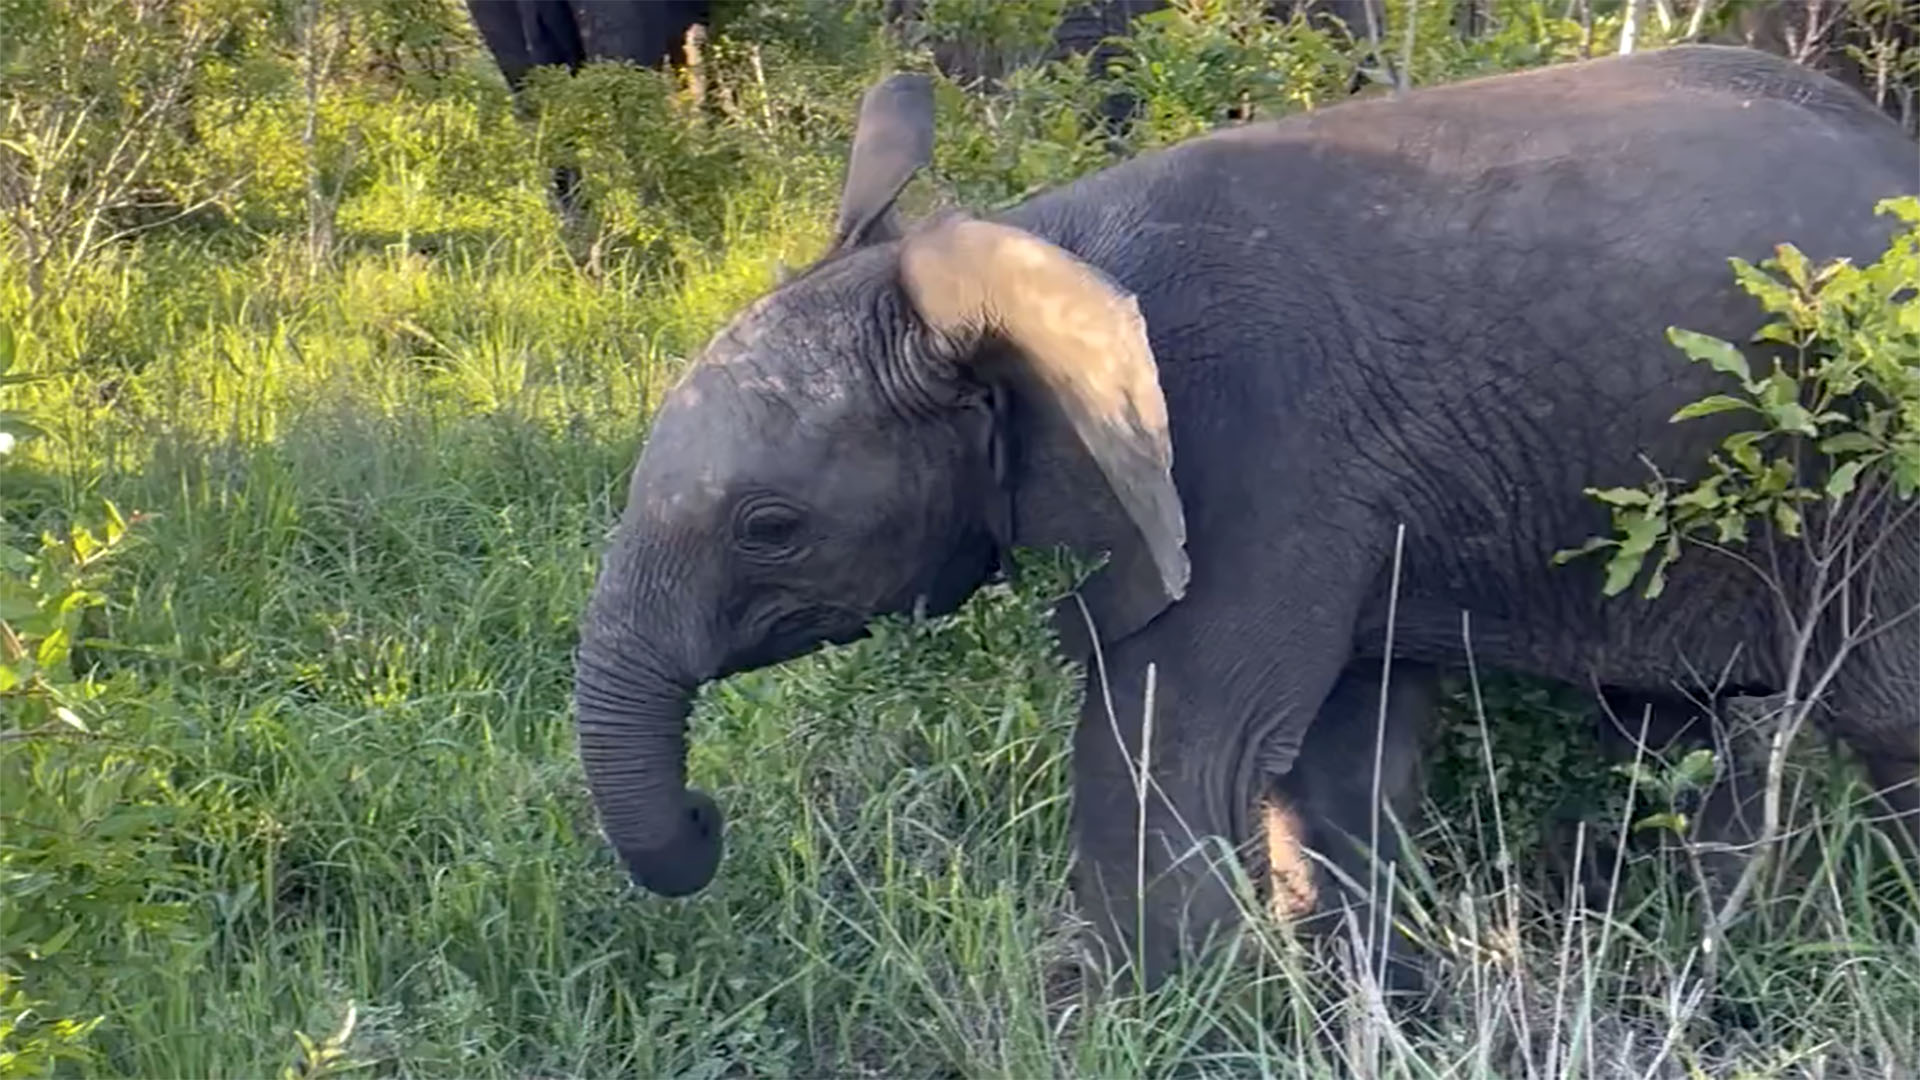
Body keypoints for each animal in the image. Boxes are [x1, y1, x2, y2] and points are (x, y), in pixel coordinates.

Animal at [570, 44, 1920, 991]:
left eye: (770, 527)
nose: (708, 820)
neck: (1042, 244)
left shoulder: (1256, 457)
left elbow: (1173, 762)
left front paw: (1171, 1021)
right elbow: (1335, 764)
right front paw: (1363, 998)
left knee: (1883, 716)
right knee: (1670, 727)